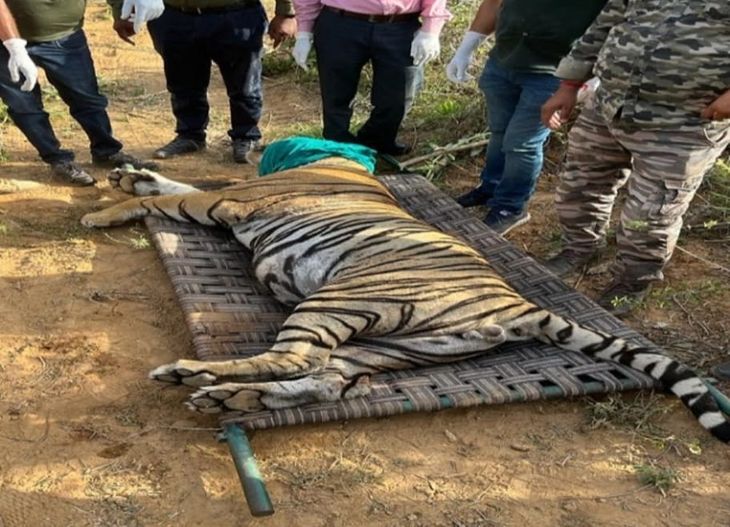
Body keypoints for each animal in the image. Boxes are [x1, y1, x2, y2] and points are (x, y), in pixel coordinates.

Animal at [81, 160, 730, 443]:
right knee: (327, 380)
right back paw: (229, 397)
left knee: (298, 360)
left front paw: (108, 206)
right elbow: (175, 185)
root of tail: (522, 305)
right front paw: (132, 175)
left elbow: (174, 197)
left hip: (344, 296)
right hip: (396, 345)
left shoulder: (228, 201)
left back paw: (190, 375)